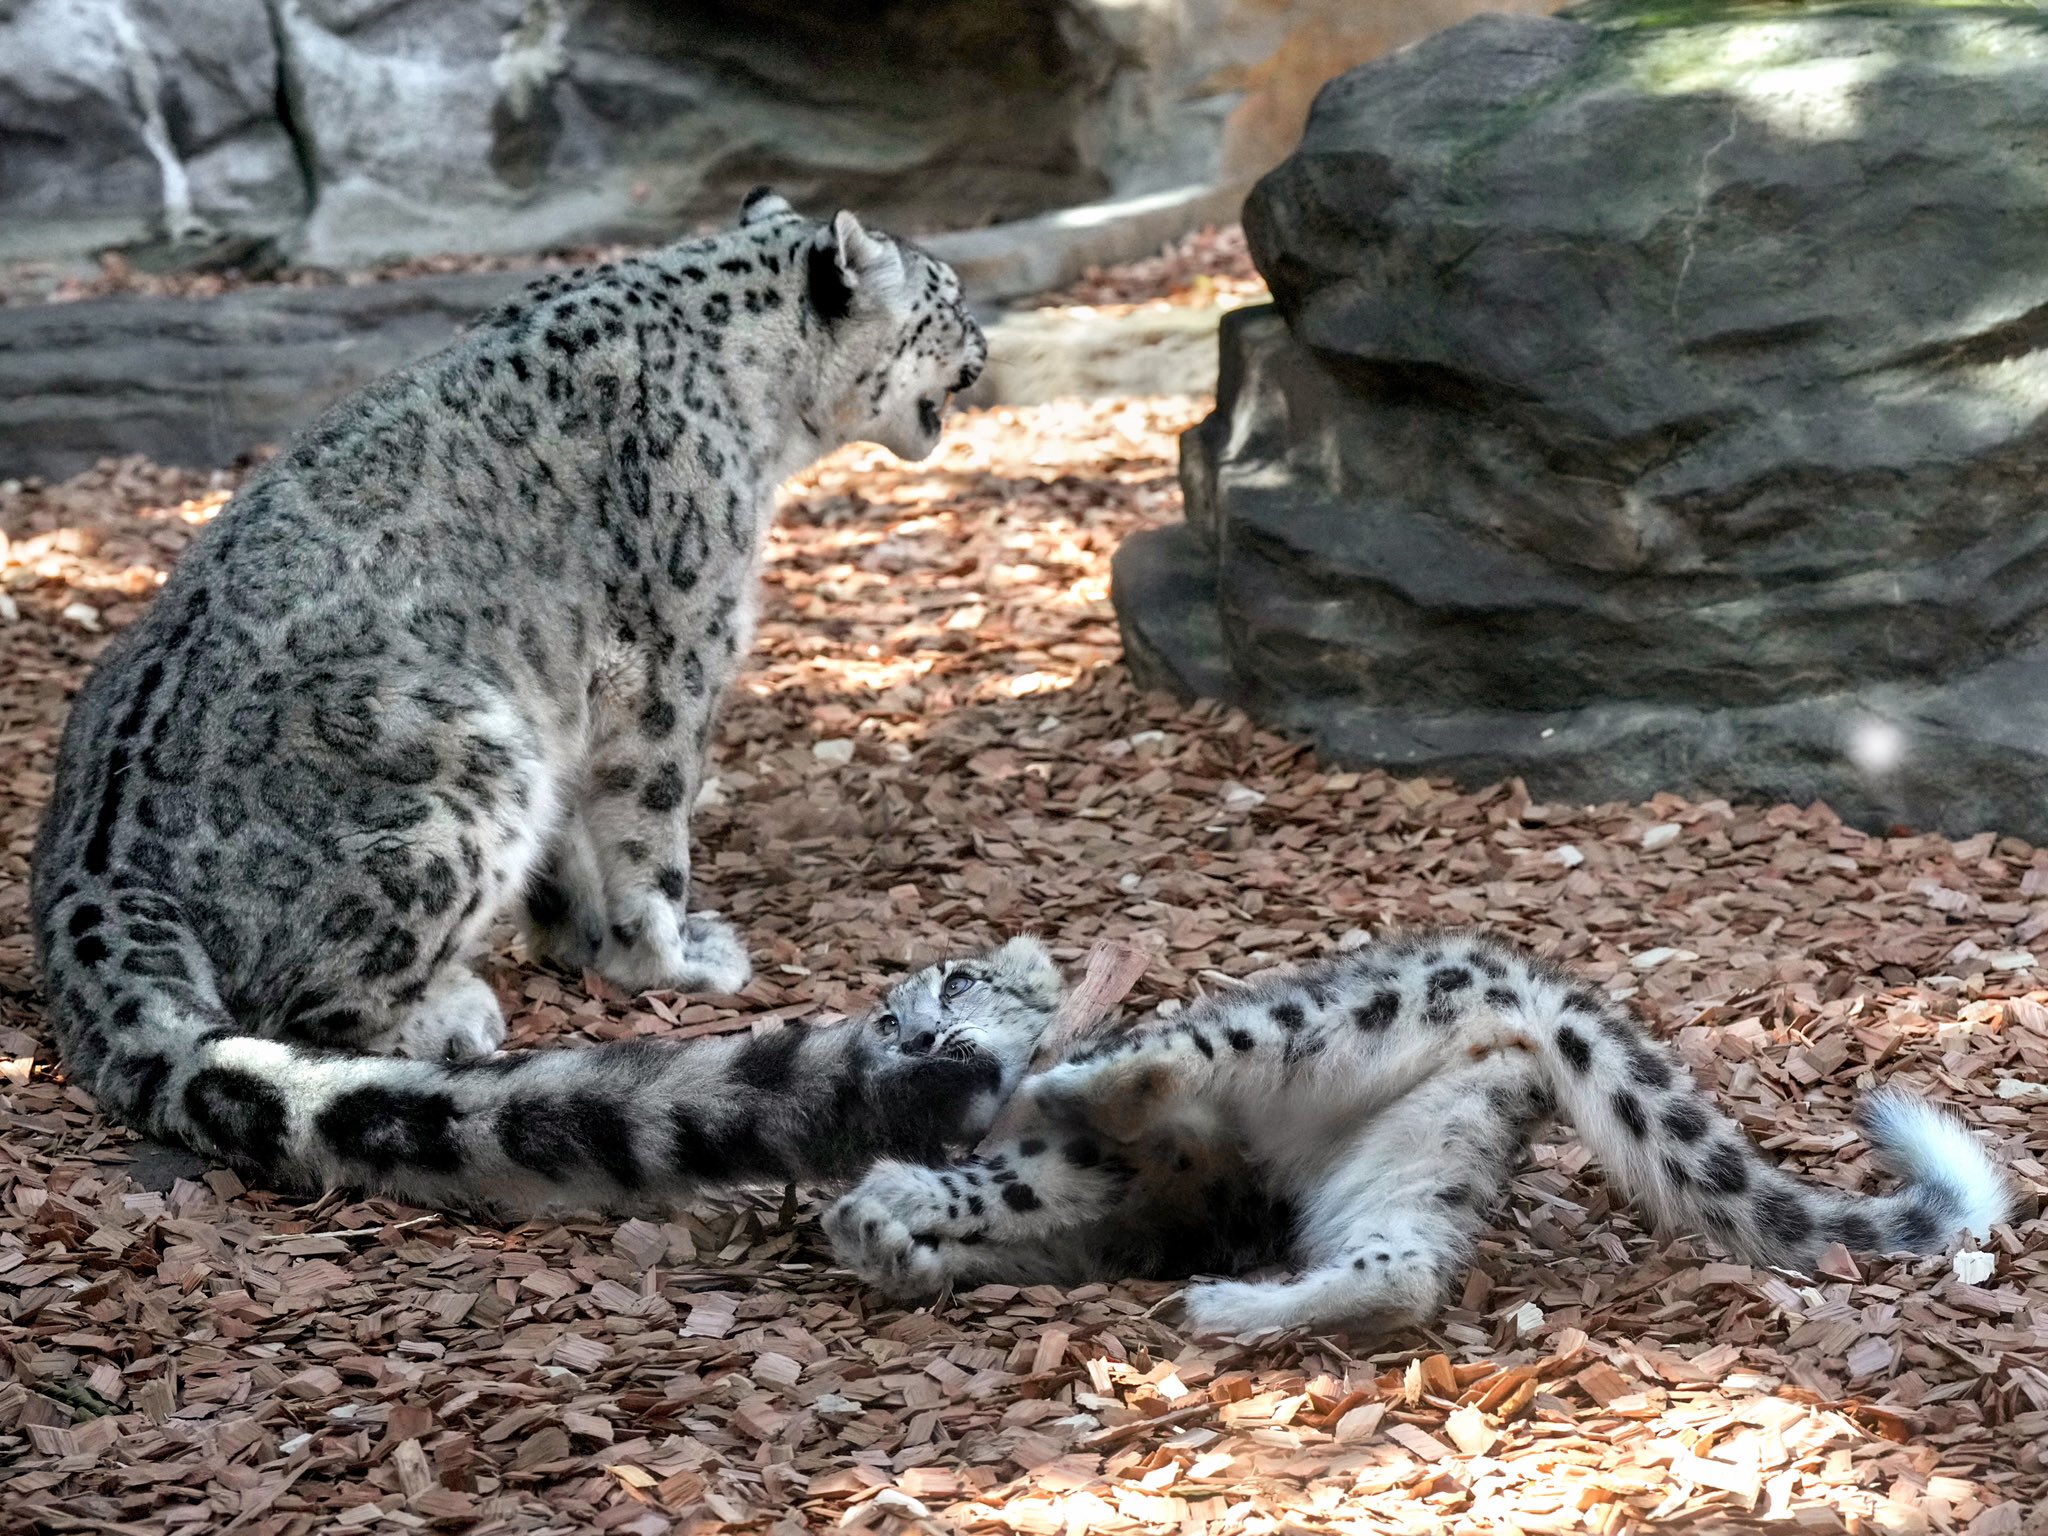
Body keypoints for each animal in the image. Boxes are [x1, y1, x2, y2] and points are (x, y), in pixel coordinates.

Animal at [27, 188, 994, 1212]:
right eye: (949, 294)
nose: (986, 344)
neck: (758, 413)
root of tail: (90, 877)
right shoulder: (671, 655)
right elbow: (652, 829)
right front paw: (672, 955)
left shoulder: (566, 701)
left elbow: (575, 848)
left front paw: (583, 938)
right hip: (470, 762)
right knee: (315, 1008)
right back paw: (452, 1014)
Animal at [828, 929, 2012, 1337]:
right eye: (884, 1022)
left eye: (959, 980)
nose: (920, 1033)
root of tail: (1519, 982)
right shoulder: (1114, 1226)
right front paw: (896, 1249)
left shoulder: (1091, 1181)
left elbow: (997, 1185)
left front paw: (878, 1206)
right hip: (1423, 1148)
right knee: (1400, 1270)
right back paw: (1231, 1312)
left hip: (1321, 1026)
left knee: (1185, 1055)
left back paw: (1084, 1083)